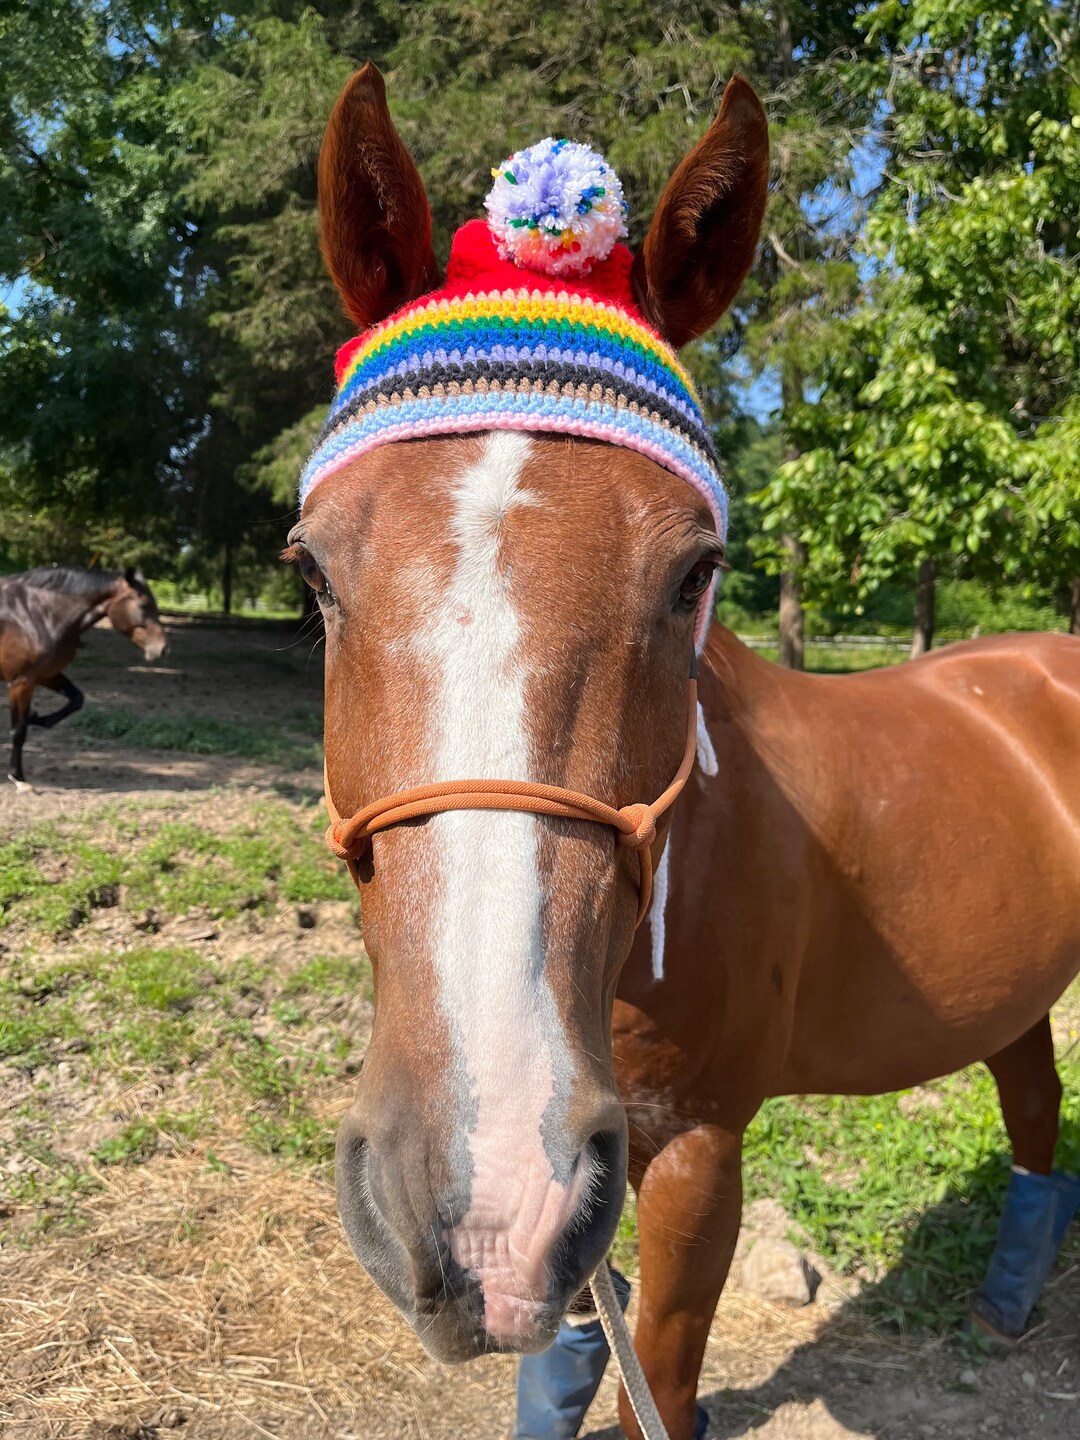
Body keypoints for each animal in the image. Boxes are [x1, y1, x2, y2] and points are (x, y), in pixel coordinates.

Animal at [0, 565, 166, 786]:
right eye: (143, 605)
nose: (163, 649)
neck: (35, 616)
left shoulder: (45, 675)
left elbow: (76, 699)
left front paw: (37, 719)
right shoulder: (21, 682)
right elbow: (18, 731)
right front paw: (17, 776)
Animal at [292, 67, 1080, 1440]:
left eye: (694, 573)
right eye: (314, 573)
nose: (478, 1197)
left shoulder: (701, 1152)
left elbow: (655, 1374)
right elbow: (561, 1369)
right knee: (1034, 1110)